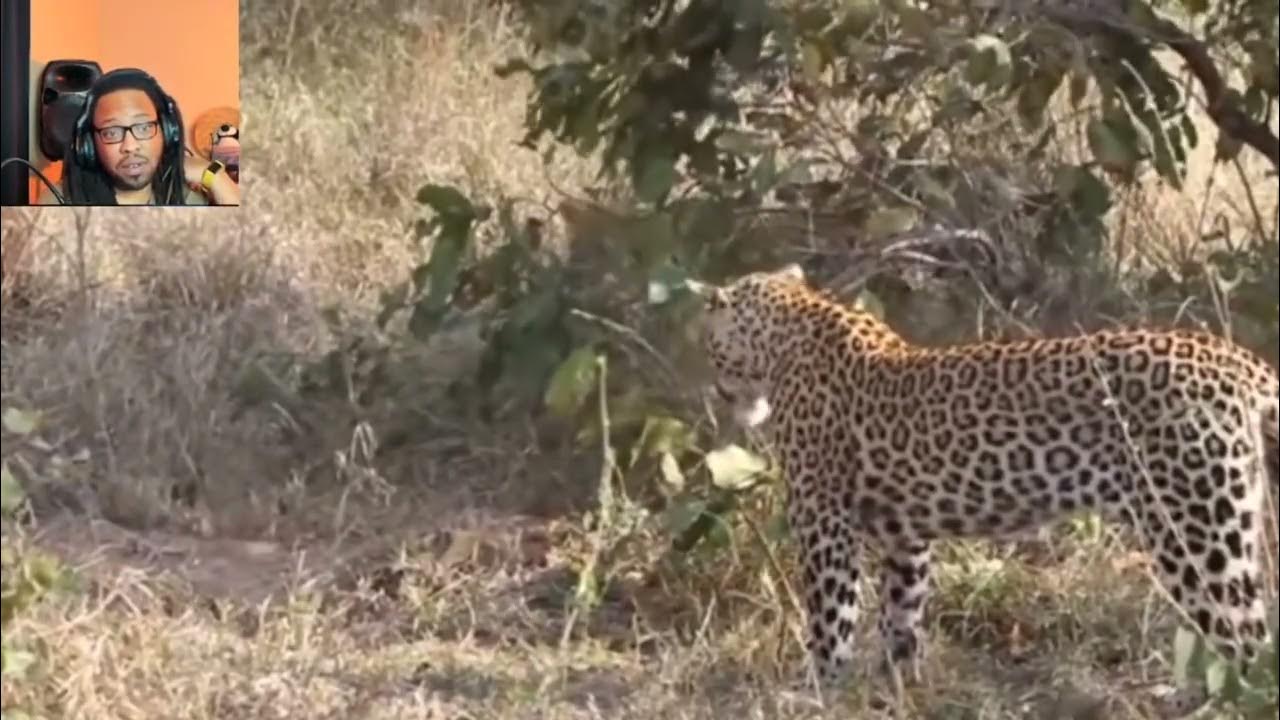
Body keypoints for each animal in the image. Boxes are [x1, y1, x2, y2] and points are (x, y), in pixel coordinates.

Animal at [687, 263, 1280, 694]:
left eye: (712, 348)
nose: (717, 389)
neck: (788, 329)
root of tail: (1235, 358)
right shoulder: (907, 539)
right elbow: (900, 619)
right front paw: (898, 689)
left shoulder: (822, 522)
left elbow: (831, 618)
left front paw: (820, 690)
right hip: (1232, 515)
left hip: (1197, 532)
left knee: (1246, 638)